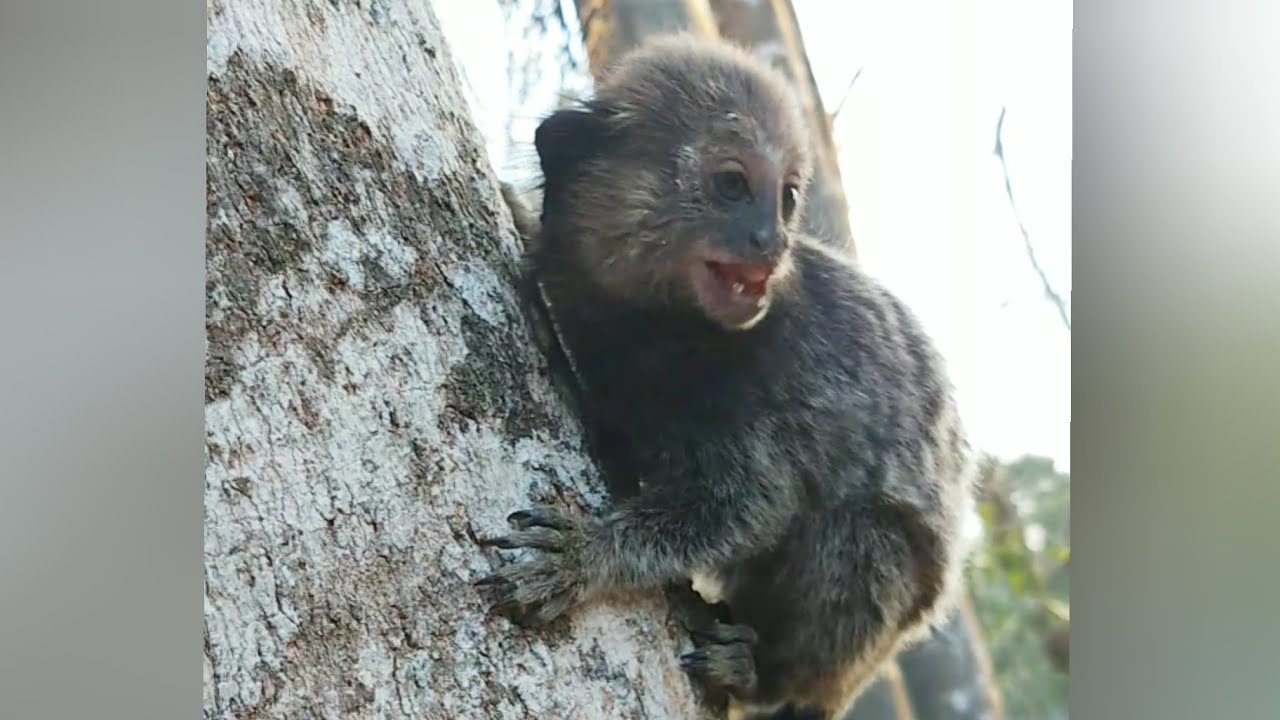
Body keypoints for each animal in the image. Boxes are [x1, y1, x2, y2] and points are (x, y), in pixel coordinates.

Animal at [479, 34, 976, 720]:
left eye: (787, 198)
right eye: (732, 185)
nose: (771, 240)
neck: (658, 326)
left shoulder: (753, 386)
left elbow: (748, 505)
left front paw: (588, 556)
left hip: (867, 640)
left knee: (861, 540)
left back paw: (758, 672)